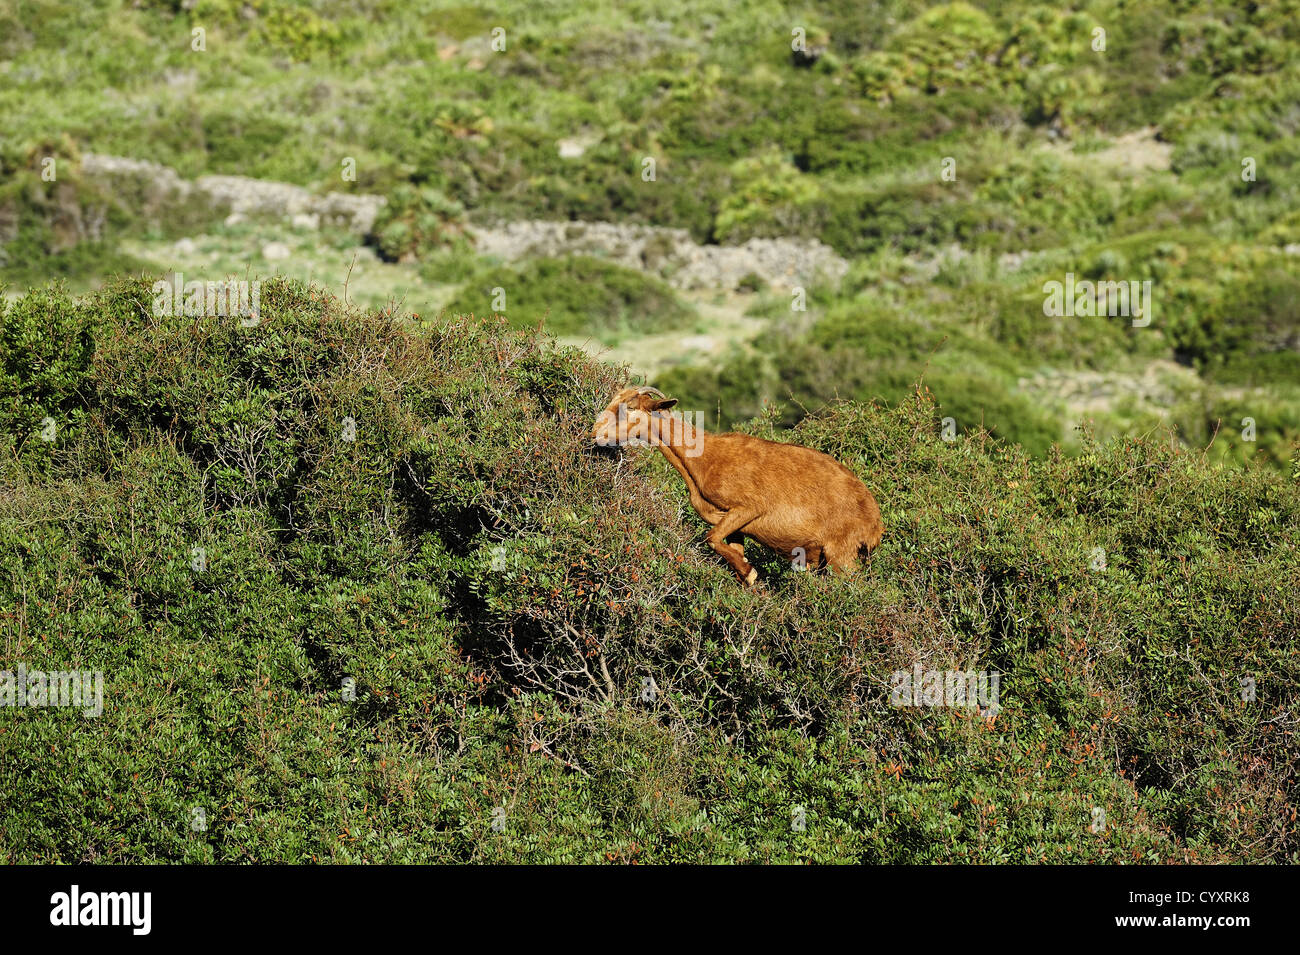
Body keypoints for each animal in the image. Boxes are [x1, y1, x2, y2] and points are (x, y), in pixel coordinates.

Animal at [591, 386, 884, 585]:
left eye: (630, 408)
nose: (596, 432)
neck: (704, 458)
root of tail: (875, 523)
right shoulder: (736, 525)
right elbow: (724, 543)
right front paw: (746, 575)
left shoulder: (749, 506)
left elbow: (710, 537)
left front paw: (748, 572)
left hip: (842, 552)